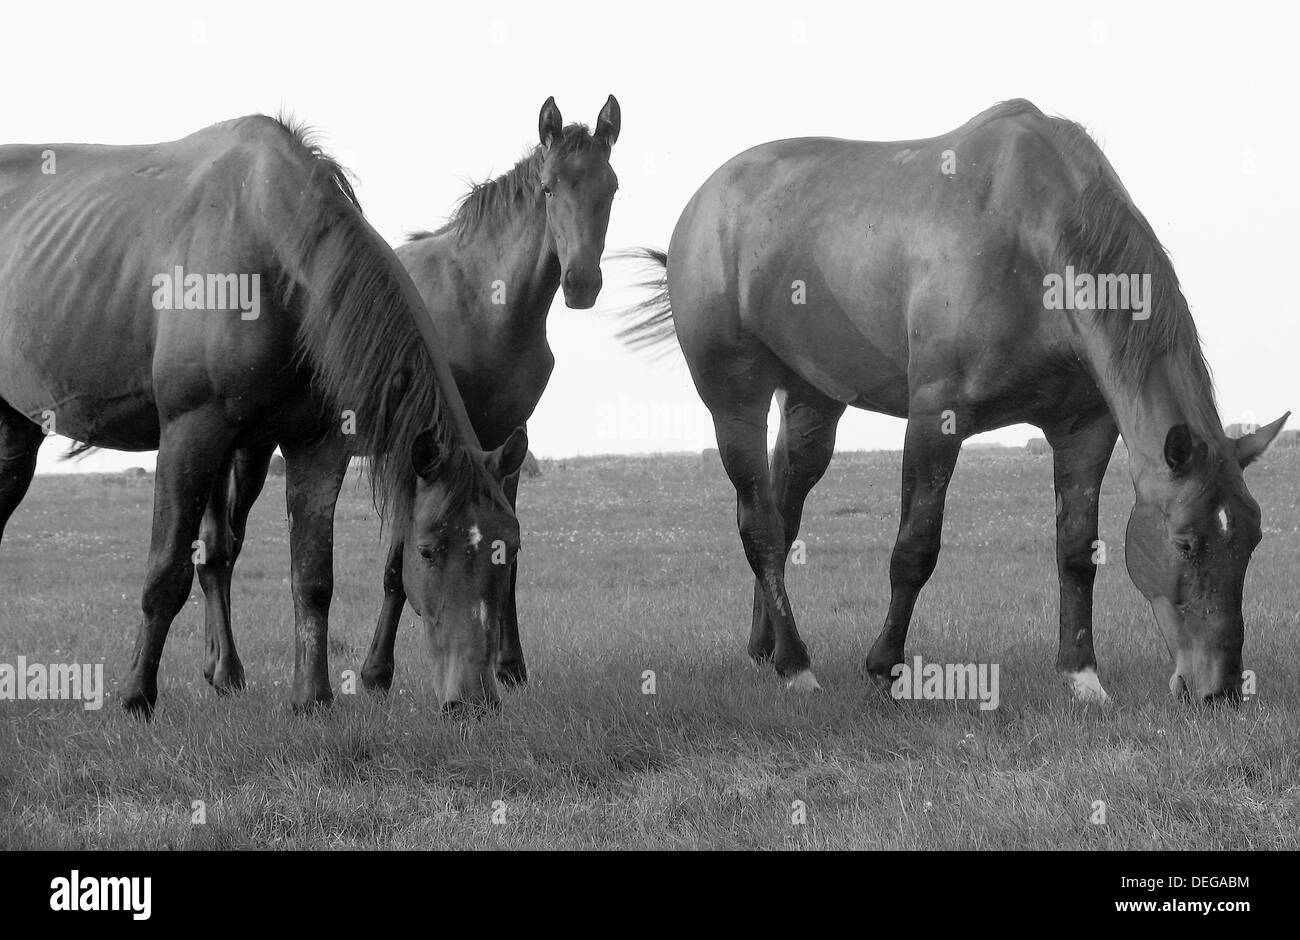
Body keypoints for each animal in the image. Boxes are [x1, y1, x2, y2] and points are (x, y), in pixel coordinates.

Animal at [0, 115, 527, 716]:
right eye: (427, 550)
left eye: (509, 548)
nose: (476, 700)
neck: (270, 253)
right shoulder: (188, 434)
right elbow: (166, 573)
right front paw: (136, 697)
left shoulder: (318, 445)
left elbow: (312, 578)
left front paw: (313, 699)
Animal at [190, 96, 620, 697]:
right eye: (549, 187)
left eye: (612, 188)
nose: (582, 283)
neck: (482, 302)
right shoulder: (417, 448)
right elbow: (397, 566)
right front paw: (376, 673)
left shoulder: (501, 445)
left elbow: (506, 555)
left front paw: (509, 665)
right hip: (247, 451)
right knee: (220, 548)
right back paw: (226, 669)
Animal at [619, 99, 1287, 703]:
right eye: (1185, 542)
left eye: (1253, 540)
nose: (1221, 690)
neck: (1033, 241)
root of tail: (702, 206)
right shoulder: (933, 423)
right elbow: (915, 549)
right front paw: (883, 668)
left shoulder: (1085, 431)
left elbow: (1076, 551)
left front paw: (1081, 677)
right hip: (736, 401)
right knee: (758, 524)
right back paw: (796, 666)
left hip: (813, 402)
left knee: (783, 515)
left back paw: (766, 649)